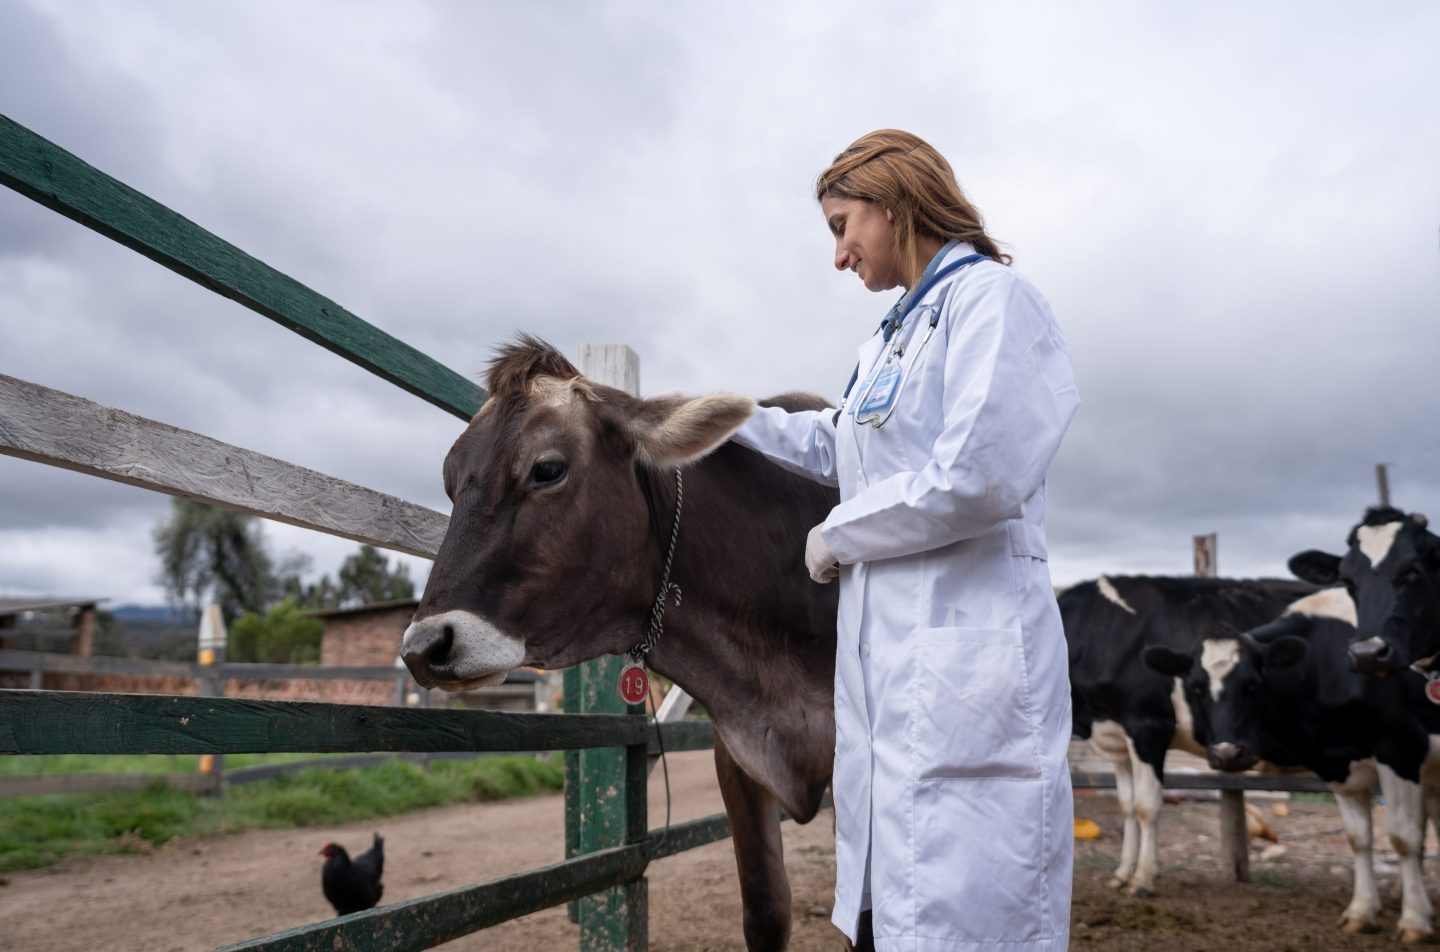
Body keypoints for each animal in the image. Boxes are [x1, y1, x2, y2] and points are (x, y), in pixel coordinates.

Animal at [1065, 576, 1313, 892]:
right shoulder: (1118, 737)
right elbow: (1127, 806)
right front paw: (1122, 873)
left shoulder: (1148, 726)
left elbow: (1146, 805)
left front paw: (1142, 878)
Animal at [1140, 590, 1434, 939]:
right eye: (1196, 687)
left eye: (1253, 683)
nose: (1227, 754)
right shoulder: (1338, 765)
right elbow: (1358, 837)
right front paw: (1361, 912)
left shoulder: (1400, 748)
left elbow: (1405, 838)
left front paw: (1414, 922)